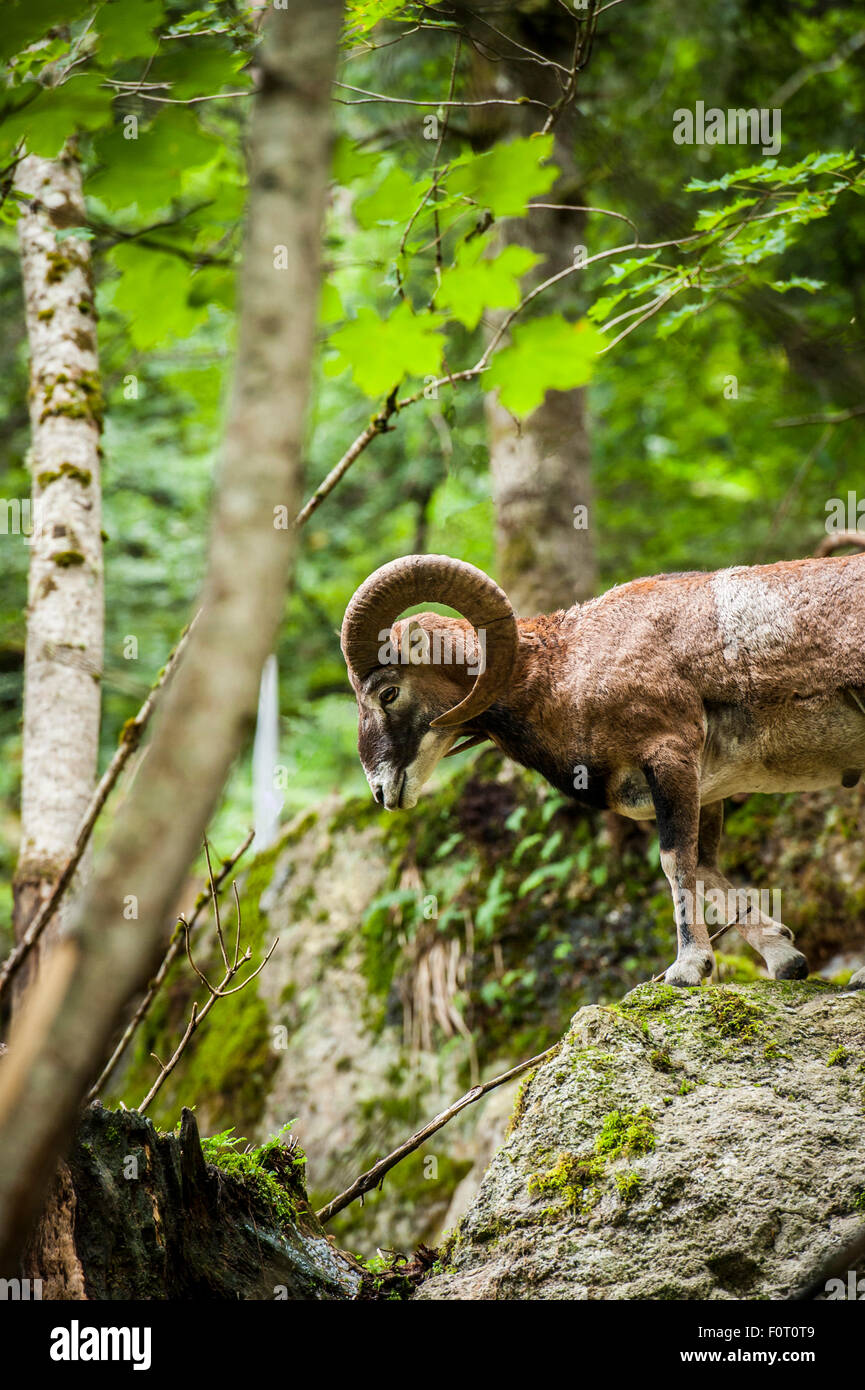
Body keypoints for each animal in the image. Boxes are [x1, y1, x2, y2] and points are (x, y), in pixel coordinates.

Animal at [341, 540, 865, 988]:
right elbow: (706, 870)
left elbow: (675, 862)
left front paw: (688, 969)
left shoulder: (669, 758)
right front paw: (786, 960)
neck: (565, 672)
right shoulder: (707, 789)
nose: (383, 793)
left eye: (388, 692)